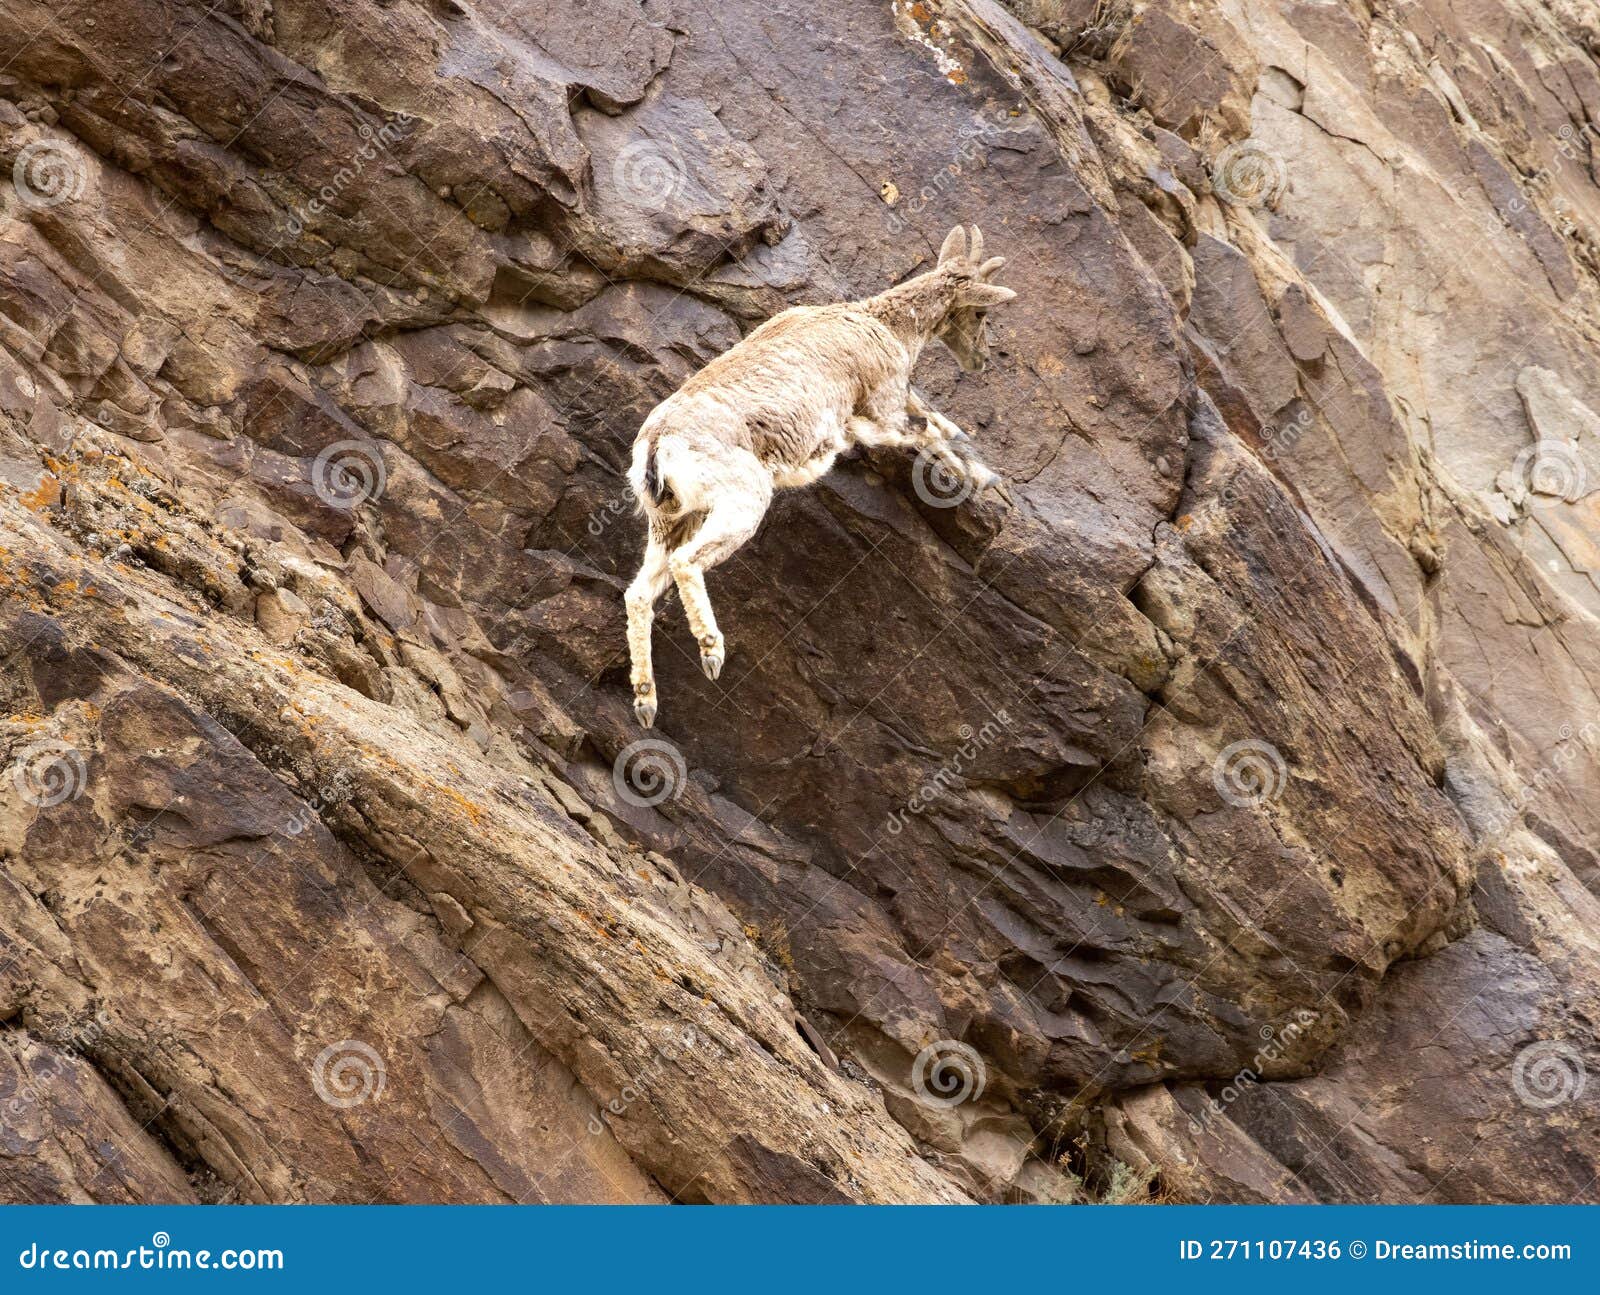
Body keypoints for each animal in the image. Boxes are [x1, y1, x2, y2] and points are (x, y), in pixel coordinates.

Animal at [624, 224, 1017, 728]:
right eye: (981, 311)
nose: (981, 359)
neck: (885, 326)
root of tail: (656, 448)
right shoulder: (879, 412)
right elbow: (928, 431)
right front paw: (981, 480)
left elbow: (938, 423)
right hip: (741, 501)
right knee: (684, 563)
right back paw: (712, 653)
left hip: (670, 521)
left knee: (639, 593)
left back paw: (645, 700)